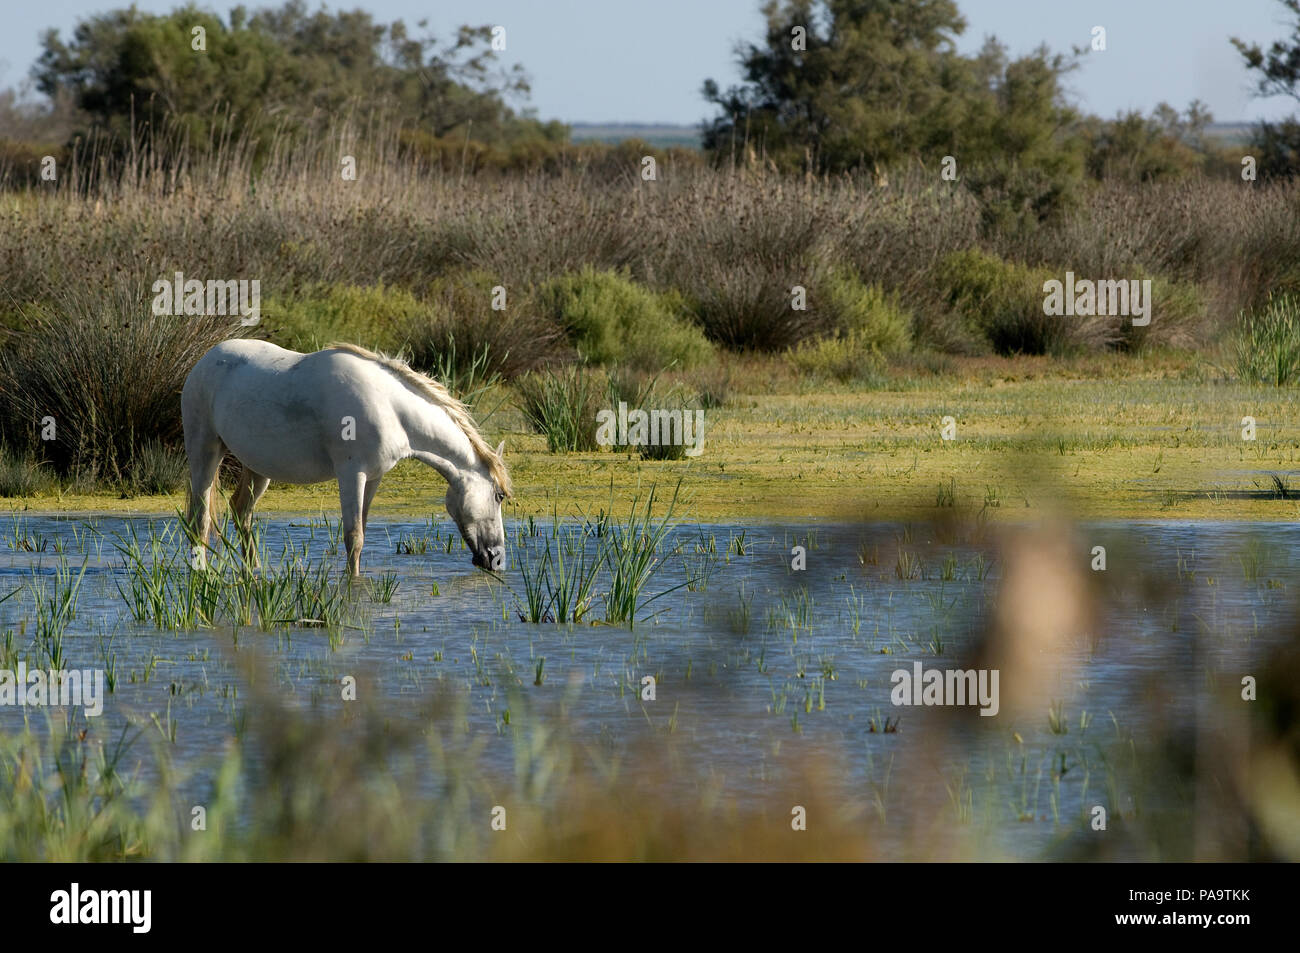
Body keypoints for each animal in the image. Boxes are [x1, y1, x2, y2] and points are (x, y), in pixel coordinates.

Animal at [181, 339, 511, 575]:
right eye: (499, 496)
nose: (496, 559)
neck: (390, 407)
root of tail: (204, 361)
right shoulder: (352, 474)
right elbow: (354, 537)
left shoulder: (374, 477)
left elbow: (360, 530)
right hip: (204, 452)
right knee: (200, 519)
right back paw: (202, 573)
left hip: (258, 468)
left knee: (241, 512)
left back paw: (255, 572)